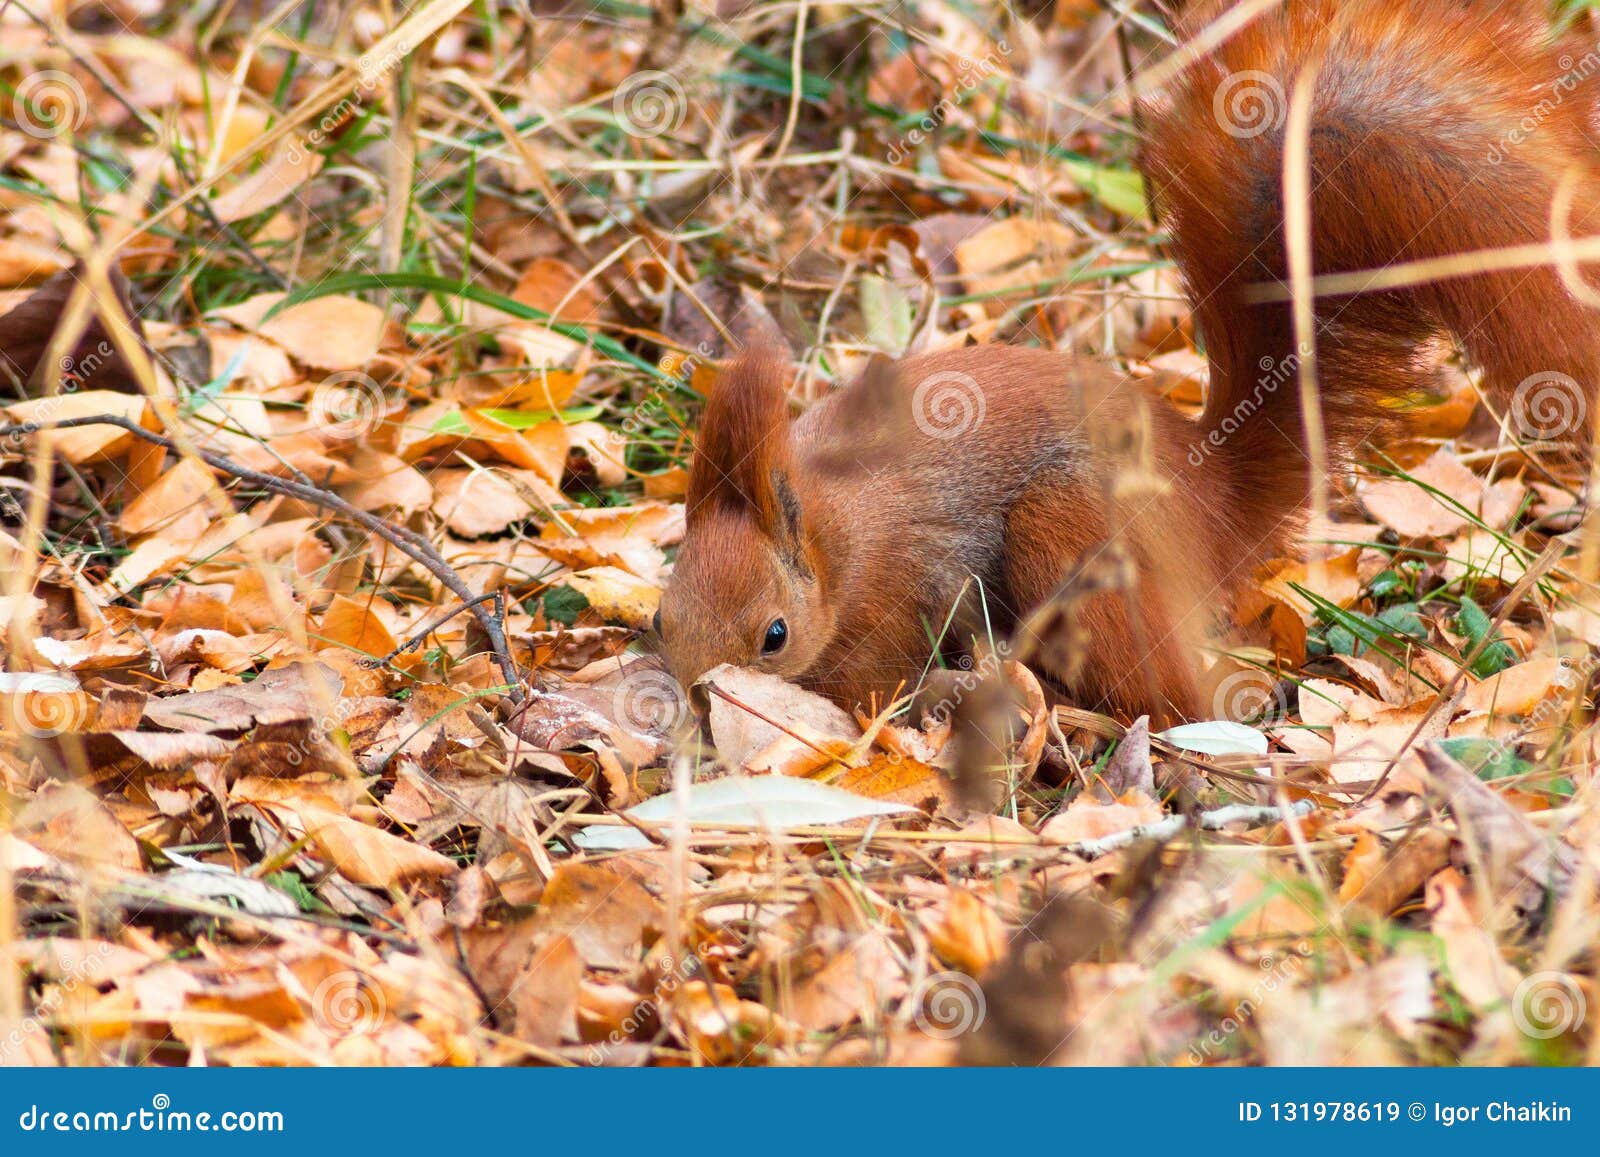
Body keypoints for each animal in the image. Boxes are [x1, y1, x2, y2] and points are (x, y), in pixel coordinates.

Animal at [656, 0, 1600, 724]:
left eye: (774, 636)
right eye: (662, 616)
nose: (690, 702)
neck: (827, 522)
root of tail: (1207, 493)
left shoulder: (891, 592)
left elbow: (870, 678)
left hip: (1072, 527)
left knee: (1165, 685)